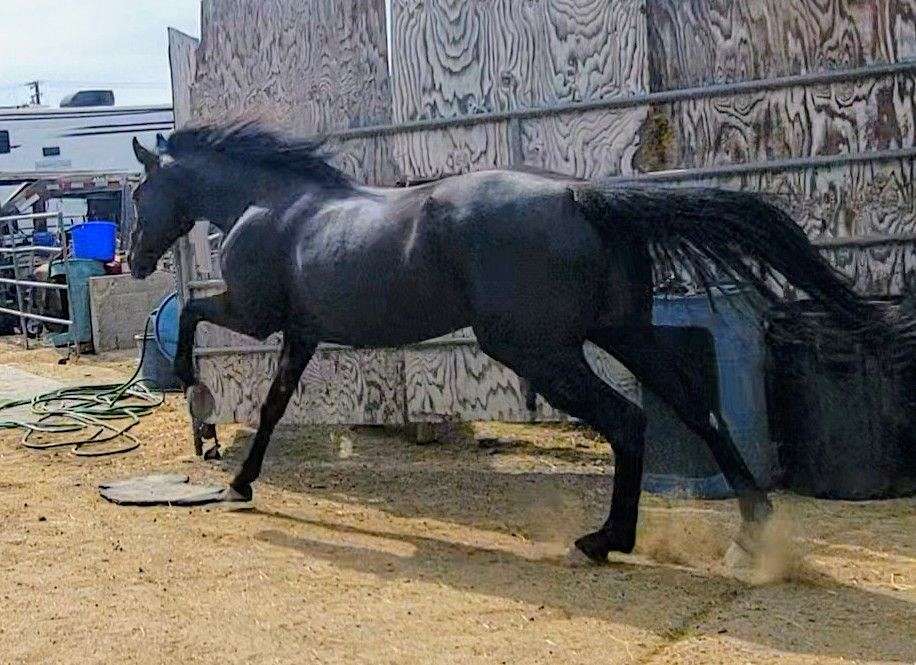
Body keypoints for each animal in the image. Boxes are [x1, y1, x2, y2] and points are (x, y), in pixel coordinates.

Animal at [128, 124, 905, 564]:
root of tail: (583, 197)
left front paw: (193, 398)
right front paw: (239, 481)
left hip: (540, 352)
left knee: (629, 420)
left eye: (136, 196)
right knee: (694, 408)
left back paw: (604, 541)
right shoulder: (301, 333)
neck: (274, 203)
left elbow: (192, 314)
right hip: (623, 332)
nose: (133, 262)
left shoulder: (257, 316)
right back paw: (752, 533)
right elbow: (273, 408)